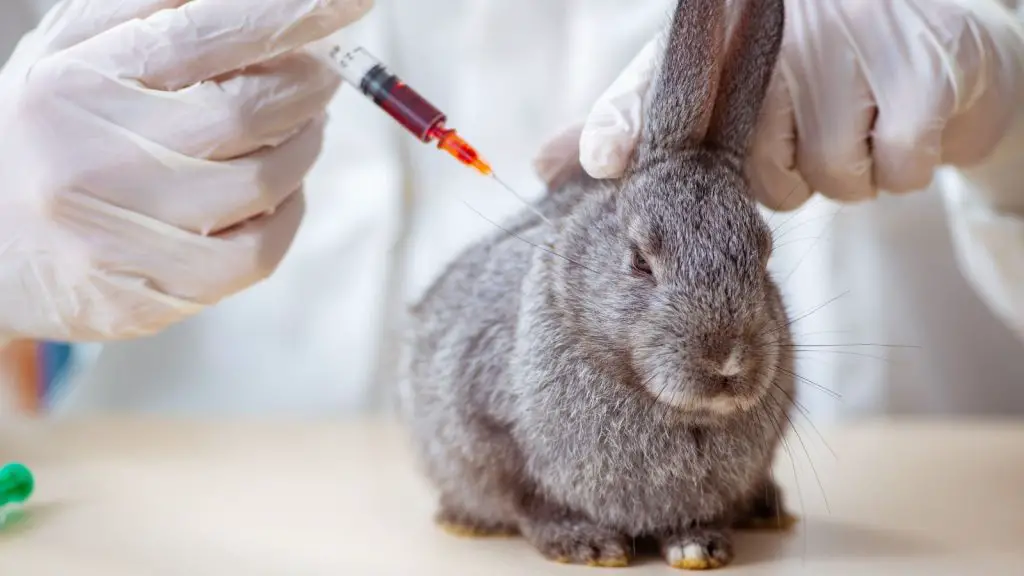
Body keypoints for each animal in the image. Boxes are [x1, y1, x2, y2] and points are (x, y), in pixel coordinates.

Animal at [397, 0, 796, 569]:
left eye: (763, 256)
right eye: (640, 261)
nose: (727, 363)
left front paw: (699, 545)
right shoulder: (482, 423)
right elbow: (526, 498)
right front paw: (586, 543)